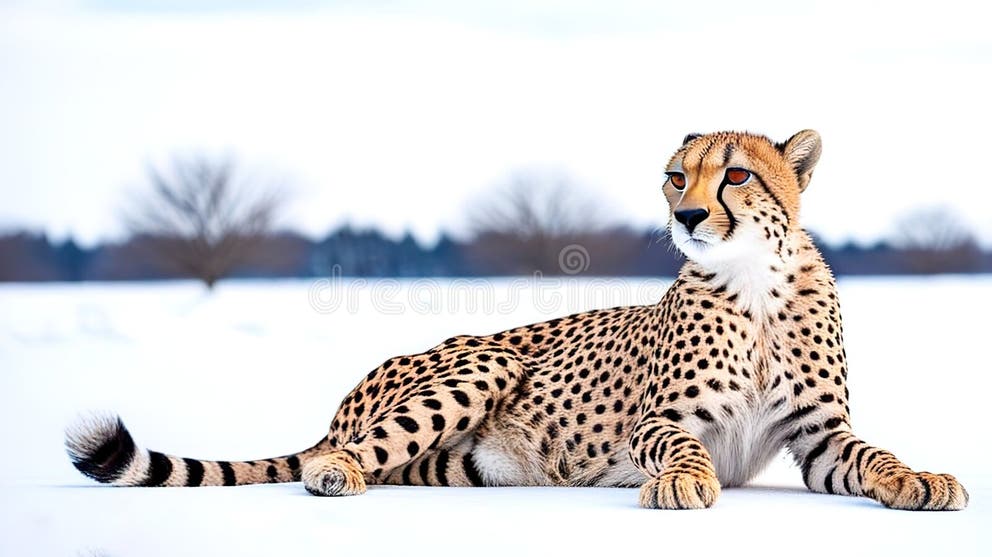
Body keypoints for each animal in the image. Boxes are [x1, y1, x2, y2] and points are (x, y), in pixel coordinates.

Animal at [66, 129, 968, 510]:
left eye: (737, 174)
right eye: (675, 174)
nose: (686, 215)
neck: (755, 283)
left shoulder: (817, 435)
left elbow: (872, 453)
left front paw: (920, 477)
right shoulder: (660, 420)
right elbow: (680, 446)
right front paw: (683, 480)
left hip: (466, 462)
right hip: (485, 363)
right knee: (335, 454)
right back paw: (335, 473)